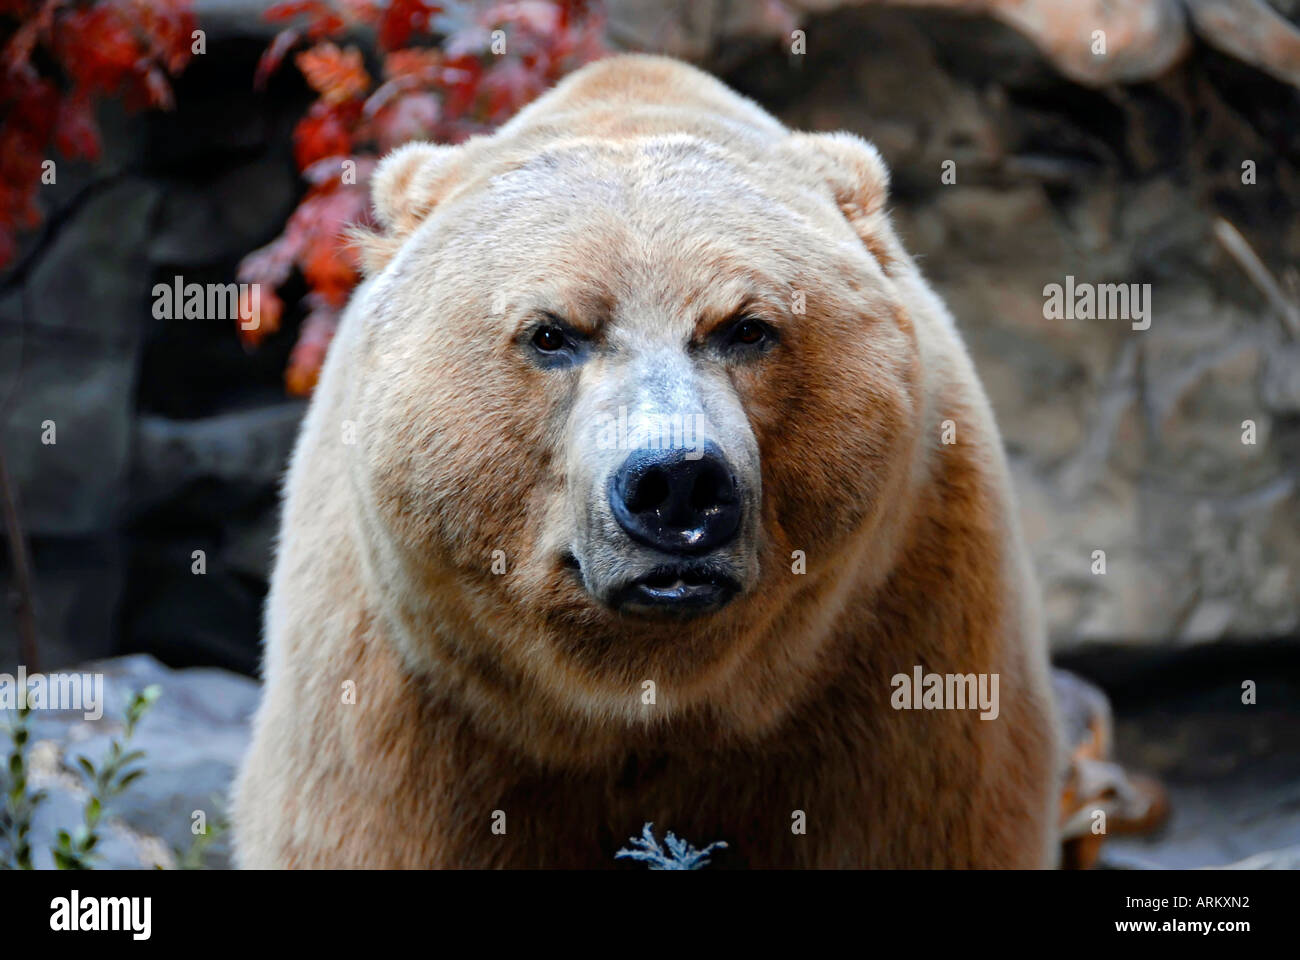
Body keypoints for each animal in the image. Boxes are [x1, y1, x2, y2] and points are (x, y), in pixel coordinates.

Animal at [232, 53, 1060, 869]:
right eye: (551, 334)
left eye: (747, 327)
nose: (678, 483)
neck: (639, 692)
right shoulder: (406, 710)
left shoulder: (904, 658)